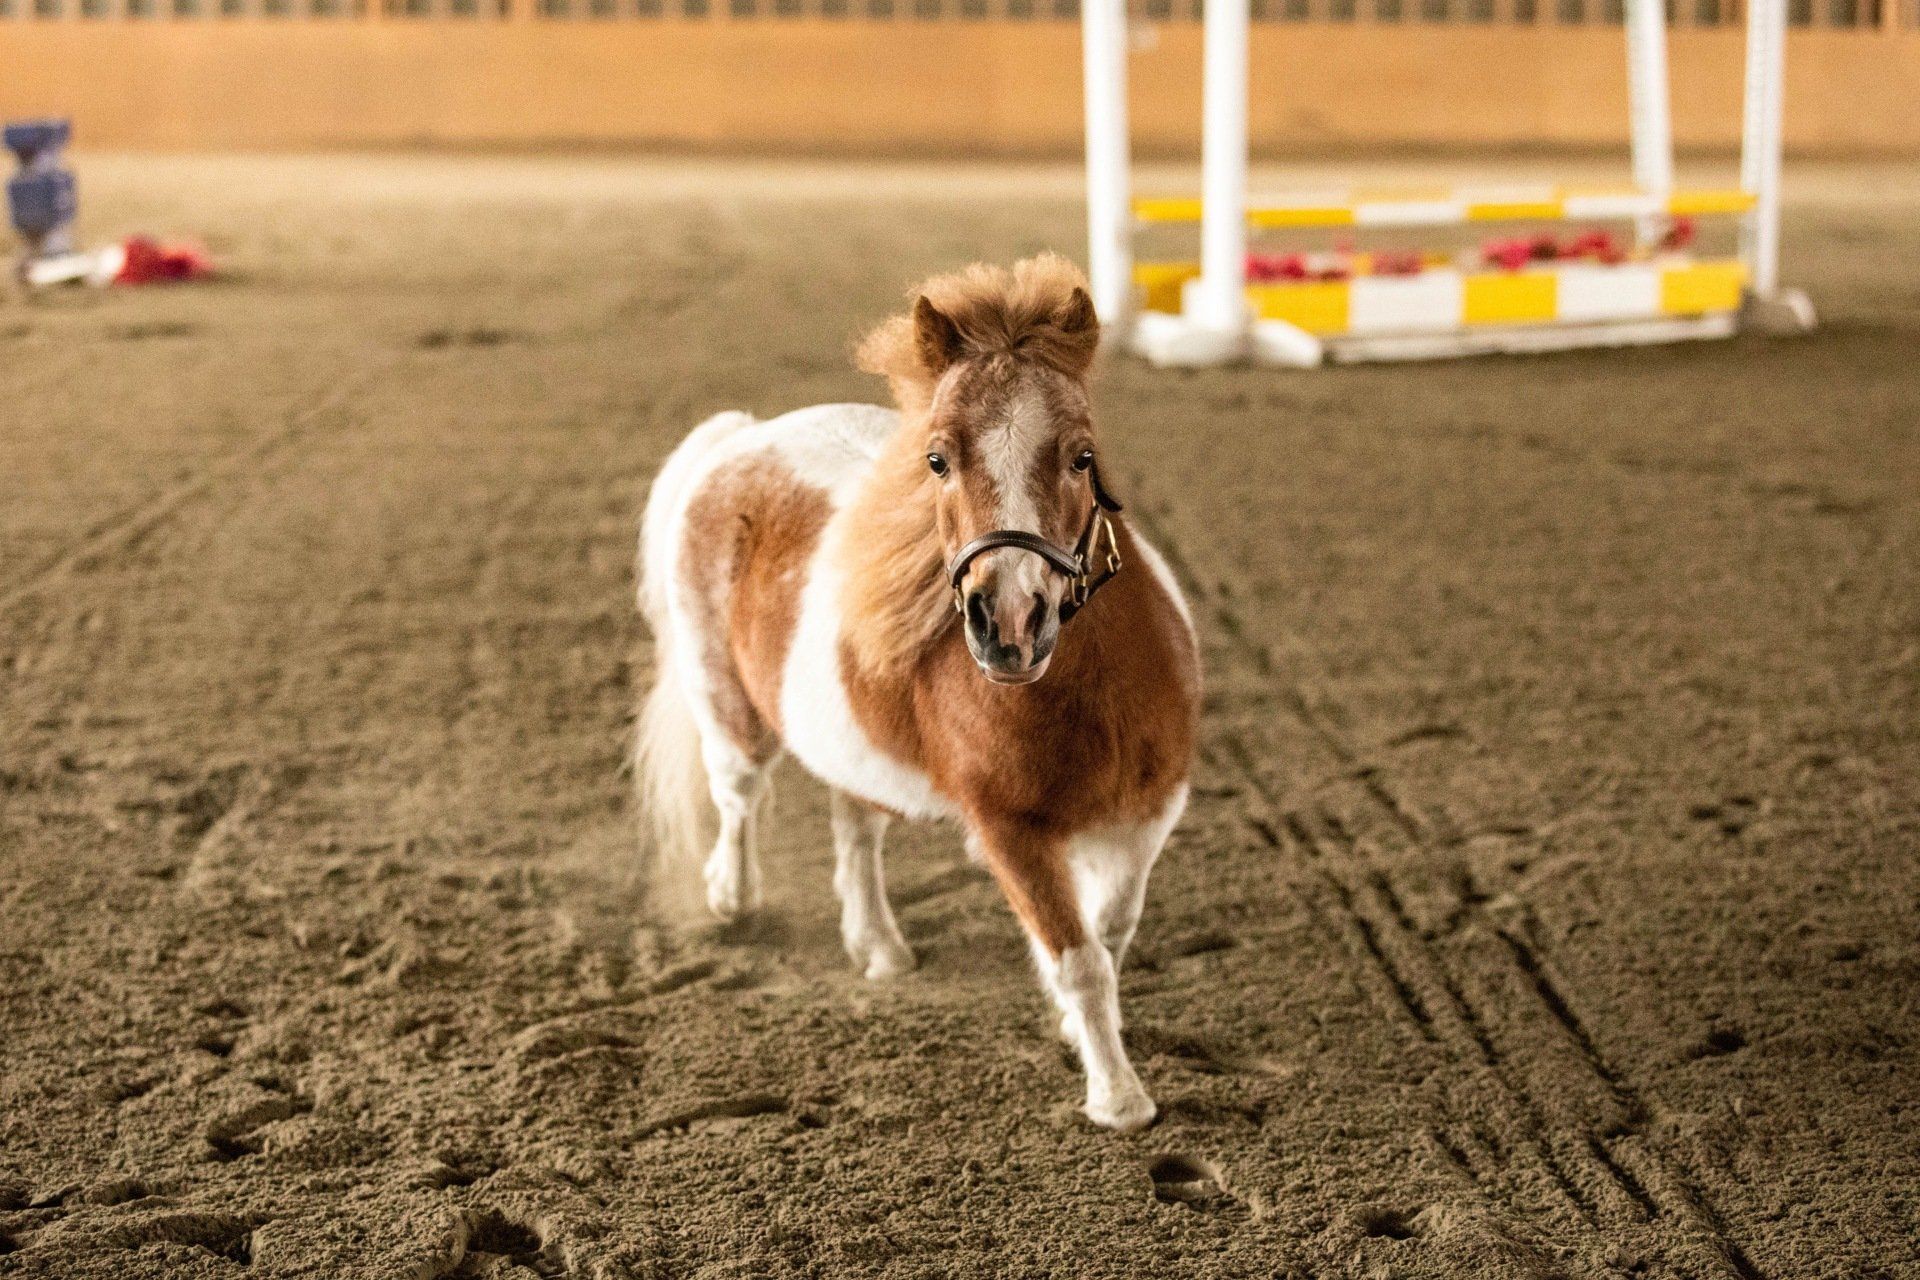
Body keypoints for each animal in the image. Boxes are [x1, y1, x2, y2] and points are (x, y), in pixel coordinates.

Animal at [635, 254, 1200, 1131]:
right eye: (937, 460)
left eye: (1081, 455)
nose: (1009, 623)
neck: (1089, 699)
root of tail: (742, 439)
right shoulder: (1011, 833)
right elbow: (1078, 958)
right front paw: (1119, 1100)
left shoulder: (1147, 816)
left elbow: (1111, 934)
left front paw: (1074, 1035)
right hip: (724, 702)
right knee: (738, 794)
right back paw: (731, 897)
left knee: (855, 829)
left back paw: (878, 947)